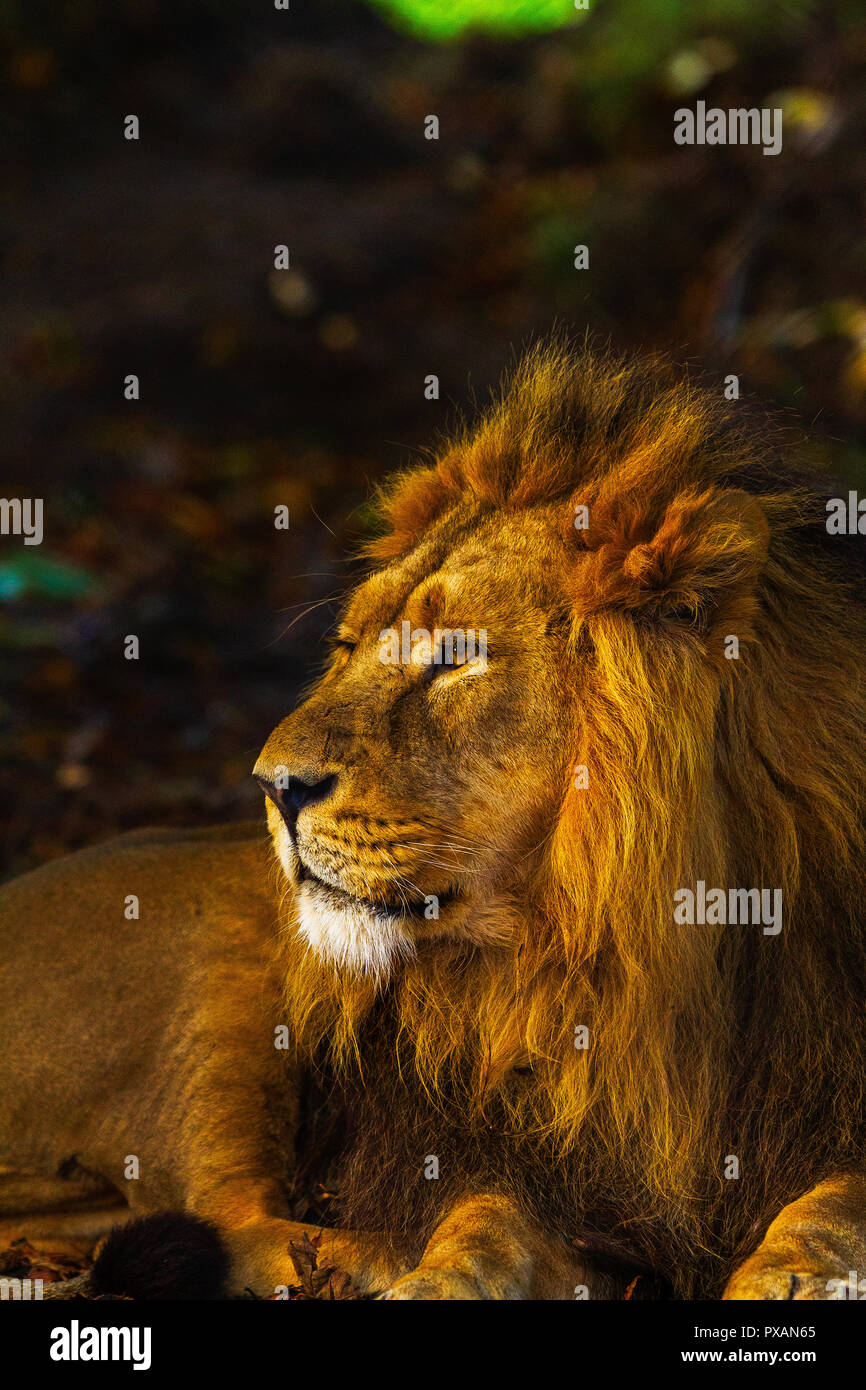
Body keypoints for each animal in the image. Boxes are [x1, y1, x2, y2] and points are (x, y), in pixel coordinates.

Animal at [2, 339, 866, 1301]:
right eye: (348, 646)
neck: (623, 955)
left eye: (454, 659)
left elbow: (832, 1205)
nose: (272, 784)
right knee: (234, 1220)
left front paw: (787, 1274)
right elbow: (483, 1222)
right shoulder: (515, 1159)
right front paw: (438, 1272)